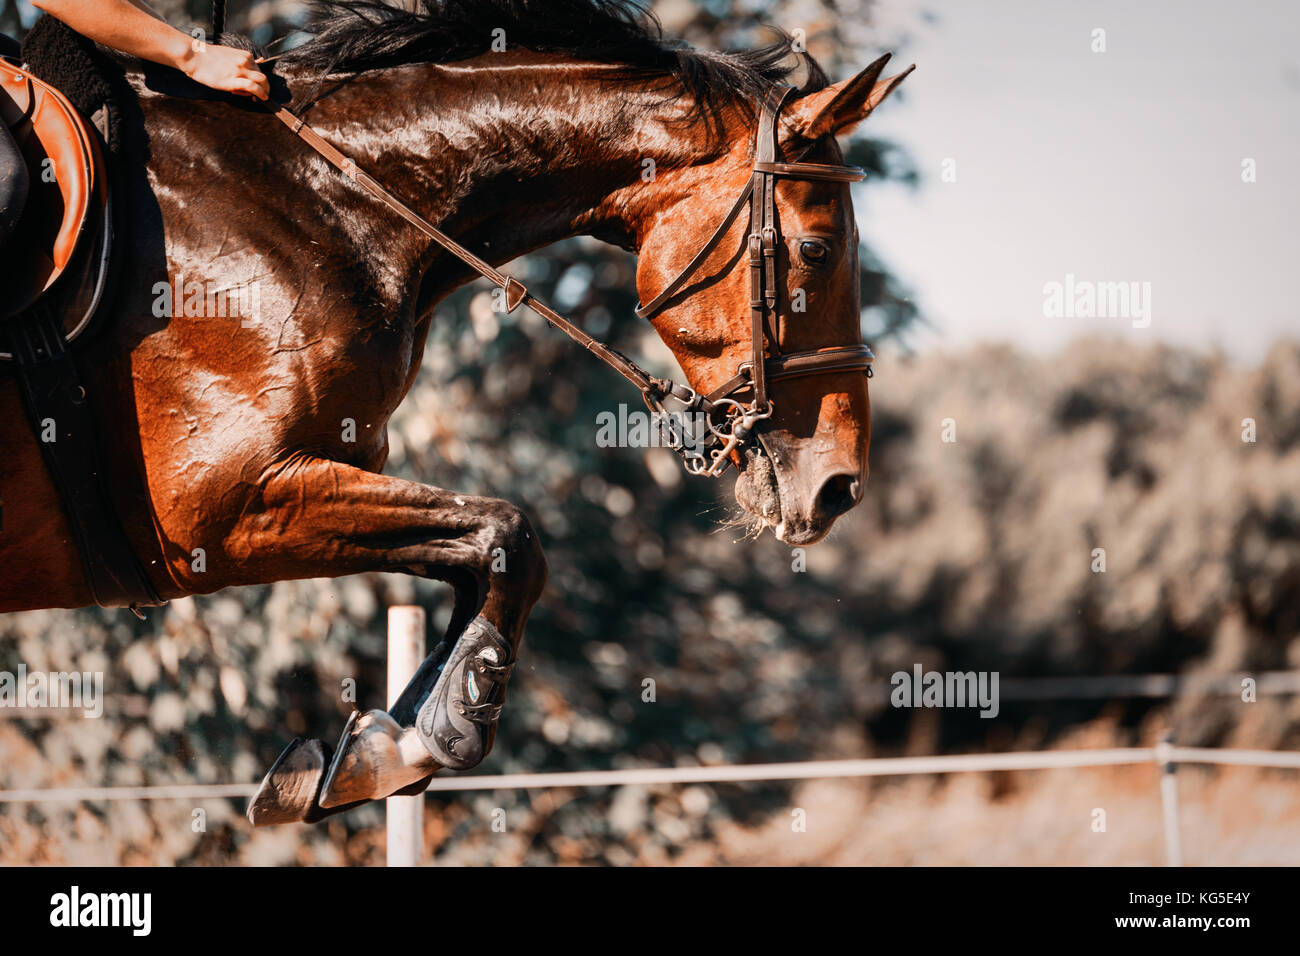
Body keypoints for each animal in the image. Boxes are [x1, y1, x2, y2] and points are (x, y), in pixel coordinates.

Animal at [0, 0, 909, 823]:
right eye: (817, 251)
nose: (839, 487)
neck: (319, 196)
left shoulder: (308, 481)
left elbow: (483, 558)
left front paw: (378, 744)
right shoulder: (214, 511)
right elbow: (510, 536)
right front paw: (412, 747)